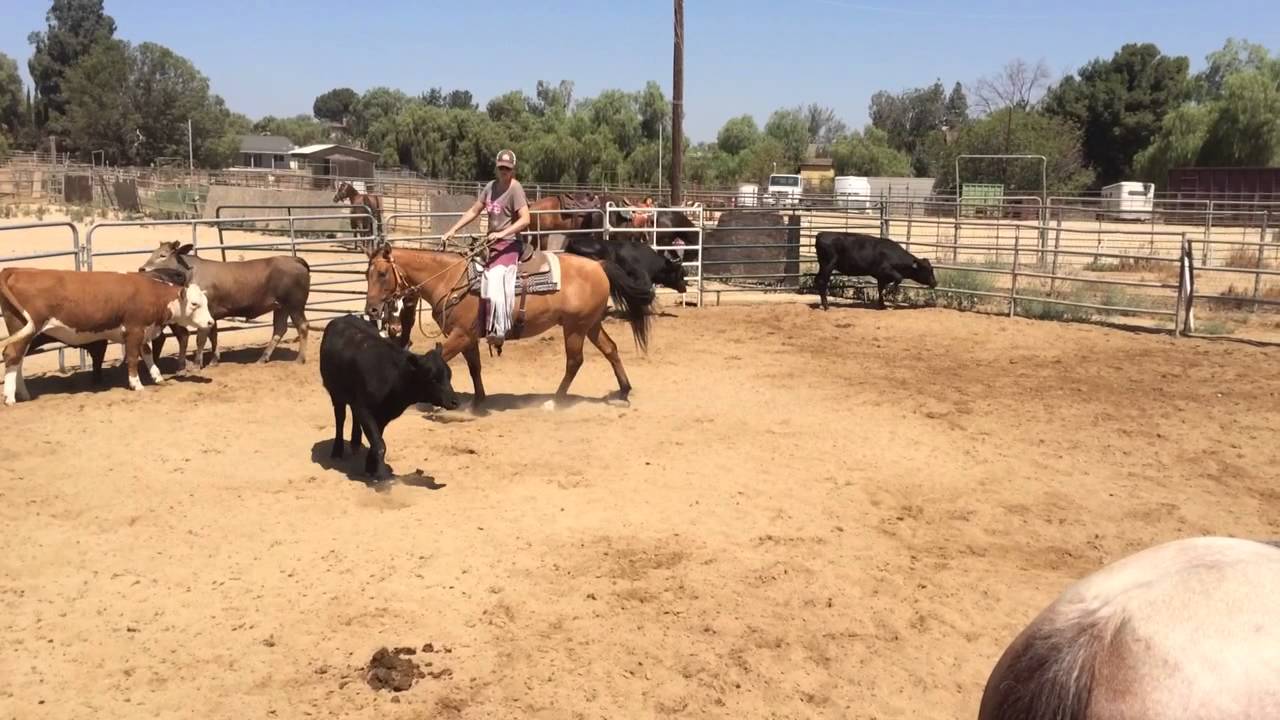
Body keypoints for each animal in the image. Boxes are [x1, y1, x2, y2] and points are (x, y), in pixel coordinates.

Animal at [0, 267, 214, 405]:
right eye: (194, 304)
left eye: (205, 302)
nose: (210, 322)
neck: (151, 294)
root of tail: (17, 269)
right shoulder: (134, 330)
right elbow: (133, 359)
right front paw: (136, 384)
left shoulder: (143, 331)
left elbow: (147, 354)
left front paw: (157, 377)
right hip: (26, 328)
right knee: (12, 355)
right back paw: (10, 397)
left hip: (25, 333)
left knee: (18, 360)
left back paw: (23, 393)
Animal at [139, 241, 311, 371]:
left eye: (163, 255)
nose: (142, 269)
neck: (191, 274)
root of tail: (294, 259)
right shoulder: (212, 315)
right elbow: (213, 335)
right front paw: (214, 360)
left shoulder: (205, 313)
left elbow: (201, 338)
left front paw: (197, 364)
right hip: (280, 307)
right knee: (279, 329)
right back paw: (263, 358)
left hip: (295, 305)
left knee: (302, 326)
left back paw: (300, 359)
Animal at [319, 314, 460, 480]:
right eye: (432, 379)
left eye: (449, 375)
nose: (455, 401)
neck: (392, 376)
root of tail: (344, 317)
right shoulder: (365, 409)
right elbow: (379, 445)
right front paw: (379, 475)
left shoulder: (383, 414)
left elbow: (377, 441)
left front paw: (370, 468)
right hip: (336, 394)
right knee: (340, 418)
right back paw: (337, 451)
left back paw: (355, 443)